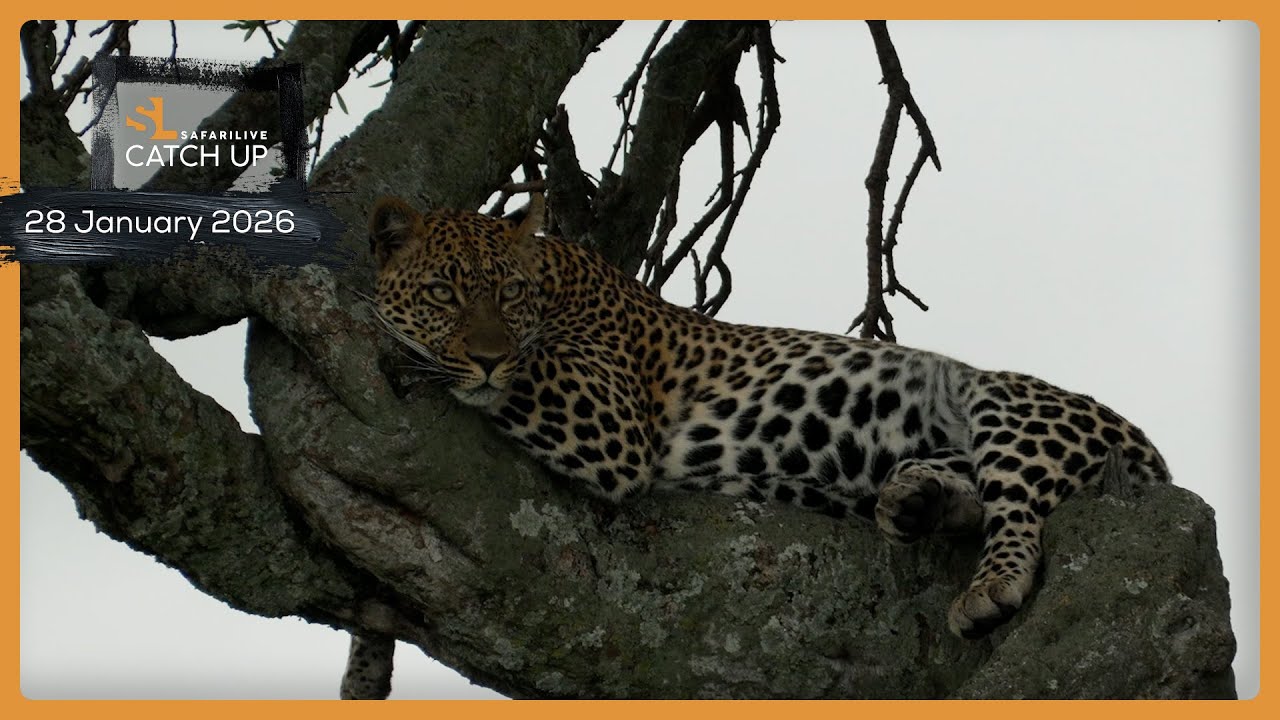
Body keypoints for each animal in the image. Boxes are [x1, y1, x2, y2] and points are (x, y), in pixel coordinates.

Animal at [367, 194, 1170, 639]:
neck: (559, 281)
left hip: (1011, 401)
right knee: (961, 490)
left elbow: (521, 373)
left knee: (1019, 509)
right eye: (443, 292)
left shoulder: (608, 417)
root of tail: (1150, 451)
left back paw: (986, 589)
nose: (487, 358)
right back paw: (918, 501)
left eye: (508, 294)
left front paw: (385, 332)